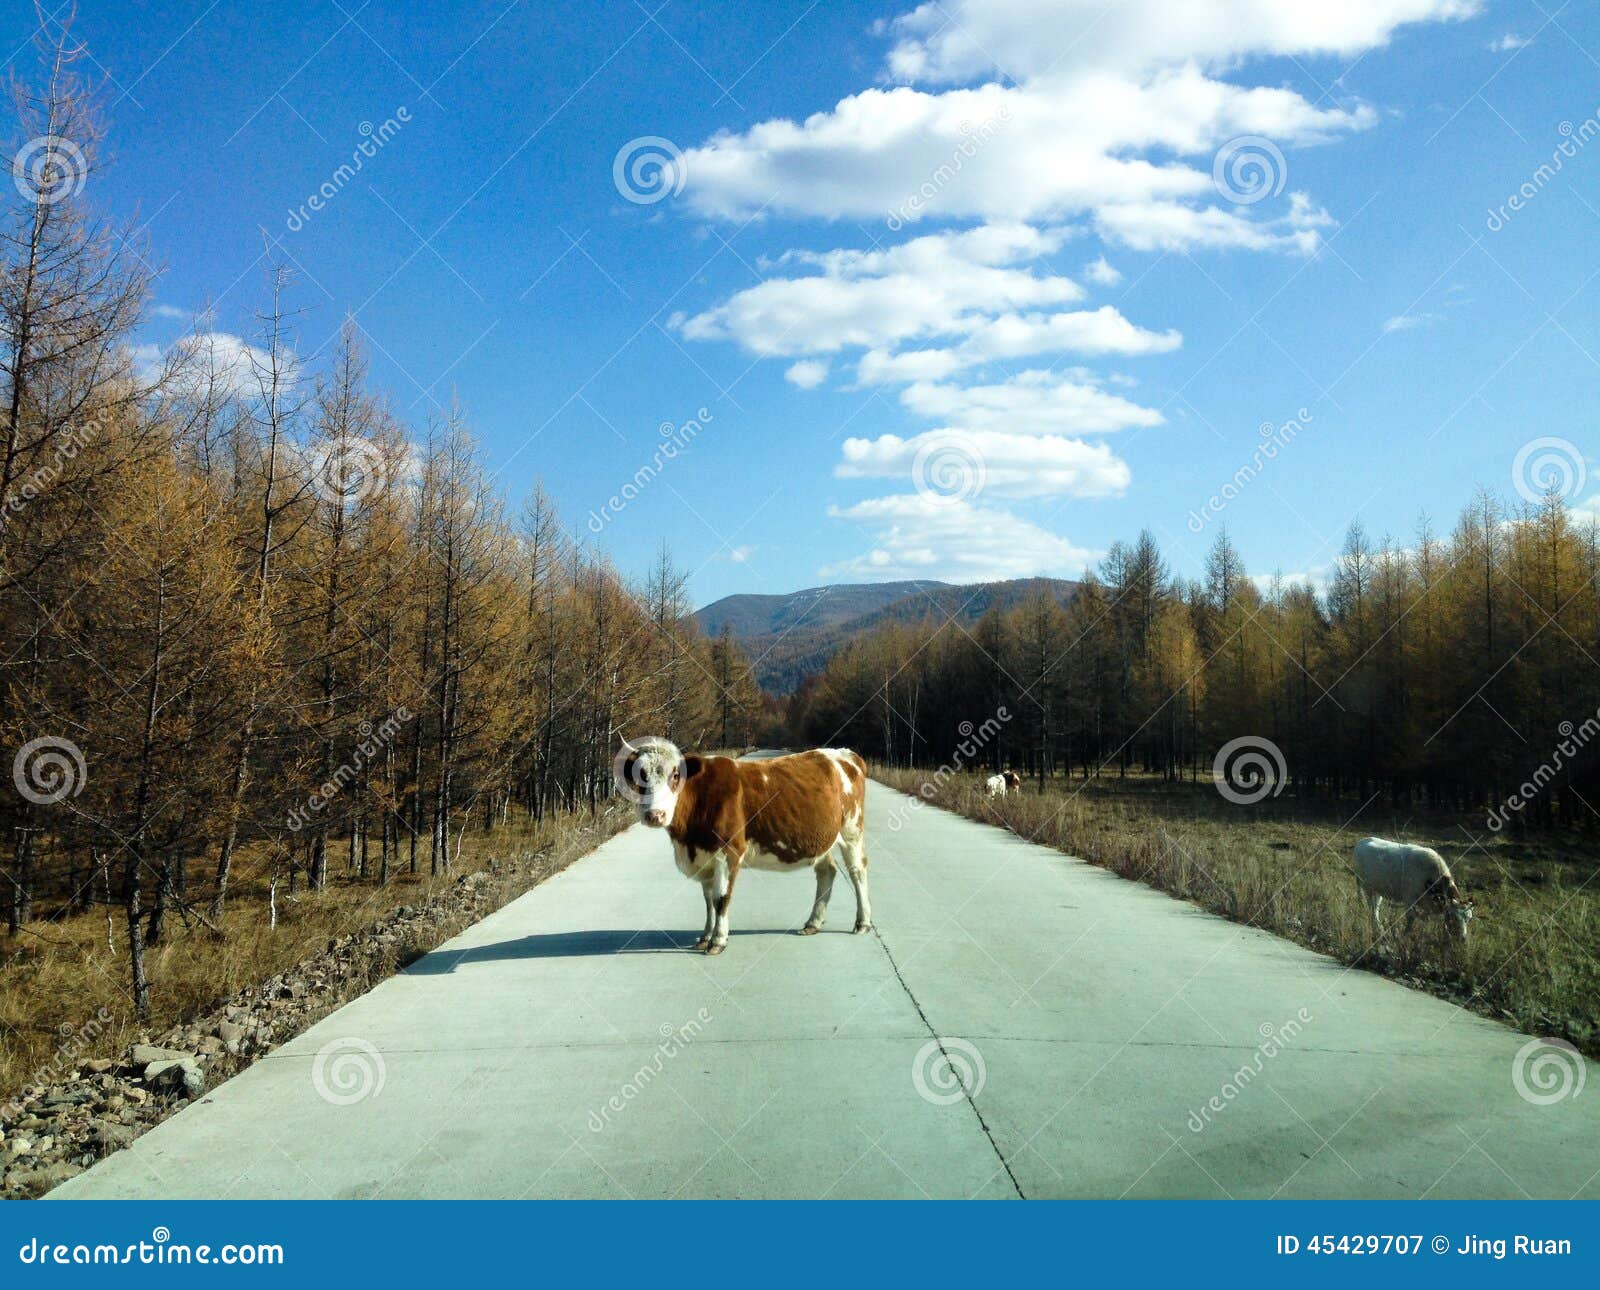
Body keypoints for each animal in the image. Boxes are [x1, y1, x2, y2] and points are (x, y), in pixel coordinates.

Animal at [614, 737, 872, 956]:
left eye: (676, 774)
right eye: (639, 775)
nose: (654, 815)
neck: (688, 840)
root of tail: (842, 753)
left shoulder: (727, 852)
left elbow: (721, 898)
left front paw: (718, 941)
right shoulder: (704, 856)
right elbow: (708, 900)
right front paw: (705, 937)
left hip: (851, 830)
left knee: (857, 871)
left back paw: (863, 922)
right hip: (821, 839)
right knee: (827, 871)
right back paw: (813, 923)